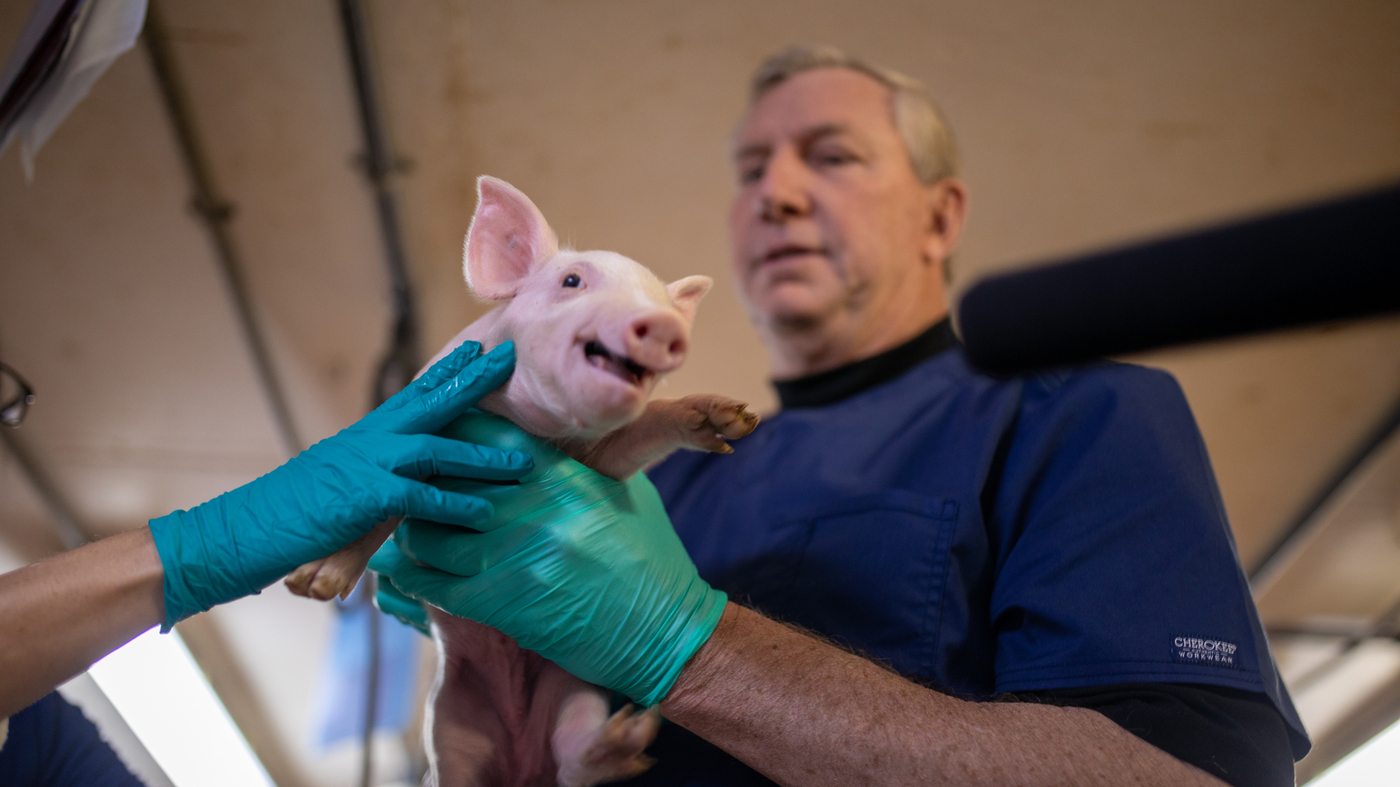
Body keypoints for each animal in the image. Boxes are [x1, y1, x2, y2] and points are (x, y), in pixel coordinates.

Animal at [284, 176, 758, 787]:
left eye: (658, 297)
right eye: (572, 281)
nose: (663, 324)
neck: (532, 431)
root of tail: (521, 770)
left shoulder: (601, 460)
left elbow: (641, 433)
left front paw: (733, 419)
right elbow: (383, 498)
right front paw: (312, 585)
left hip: (573, 686)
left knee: (575, 759)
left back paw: (628, 740)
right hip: (449, 712)